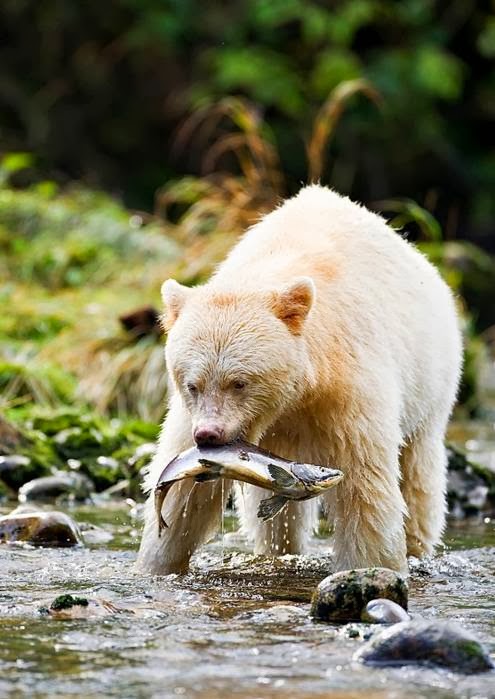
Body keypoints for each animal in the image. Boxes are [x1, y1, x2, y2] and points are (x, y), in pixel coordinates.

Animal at [137, 185, 462, 576]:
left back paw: (416, 546)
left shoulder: (348, 388)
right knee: (276, 516)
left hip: (430, 388)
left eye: (239, 382)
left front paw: (369, 567)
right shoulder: (193, 418)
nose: (209, 435)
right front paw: (155, 562)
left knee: (417, 477)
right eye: (192, 384)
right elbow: (187, 494)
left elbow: (365, 486)